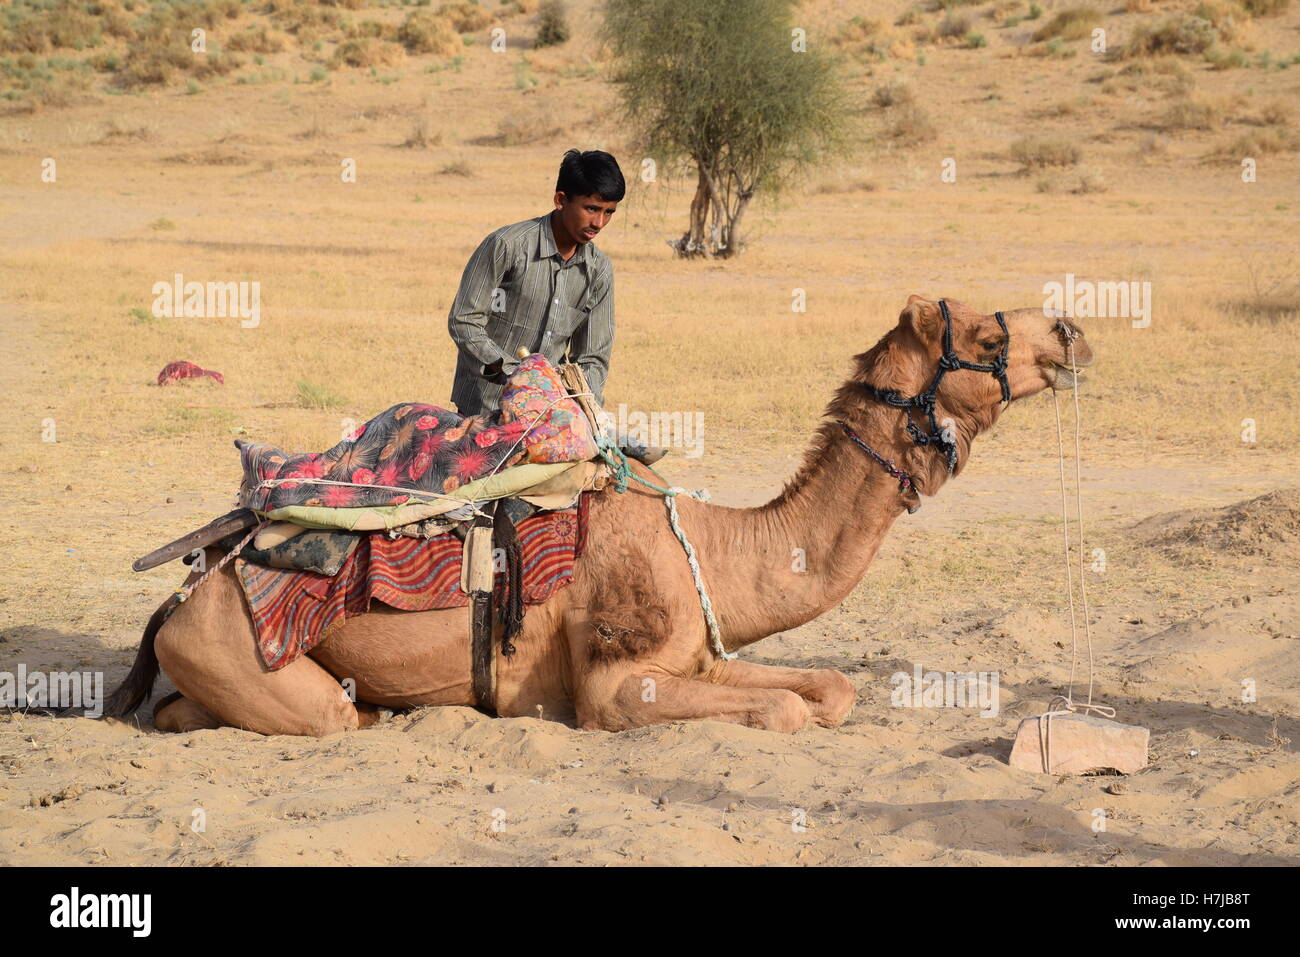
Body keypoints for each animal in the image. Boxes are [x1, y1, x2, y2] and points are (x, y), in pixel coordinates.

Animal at [105, 296, 1093, 736]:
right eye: (990, 335)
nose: (1073, 331)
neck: (716, 545)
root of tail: (187, 590)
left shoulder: (697, 651)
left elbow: (829, 688)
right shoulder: (617, 685)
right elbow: (783, 711)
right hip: (241, 647)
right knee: (316, 718)